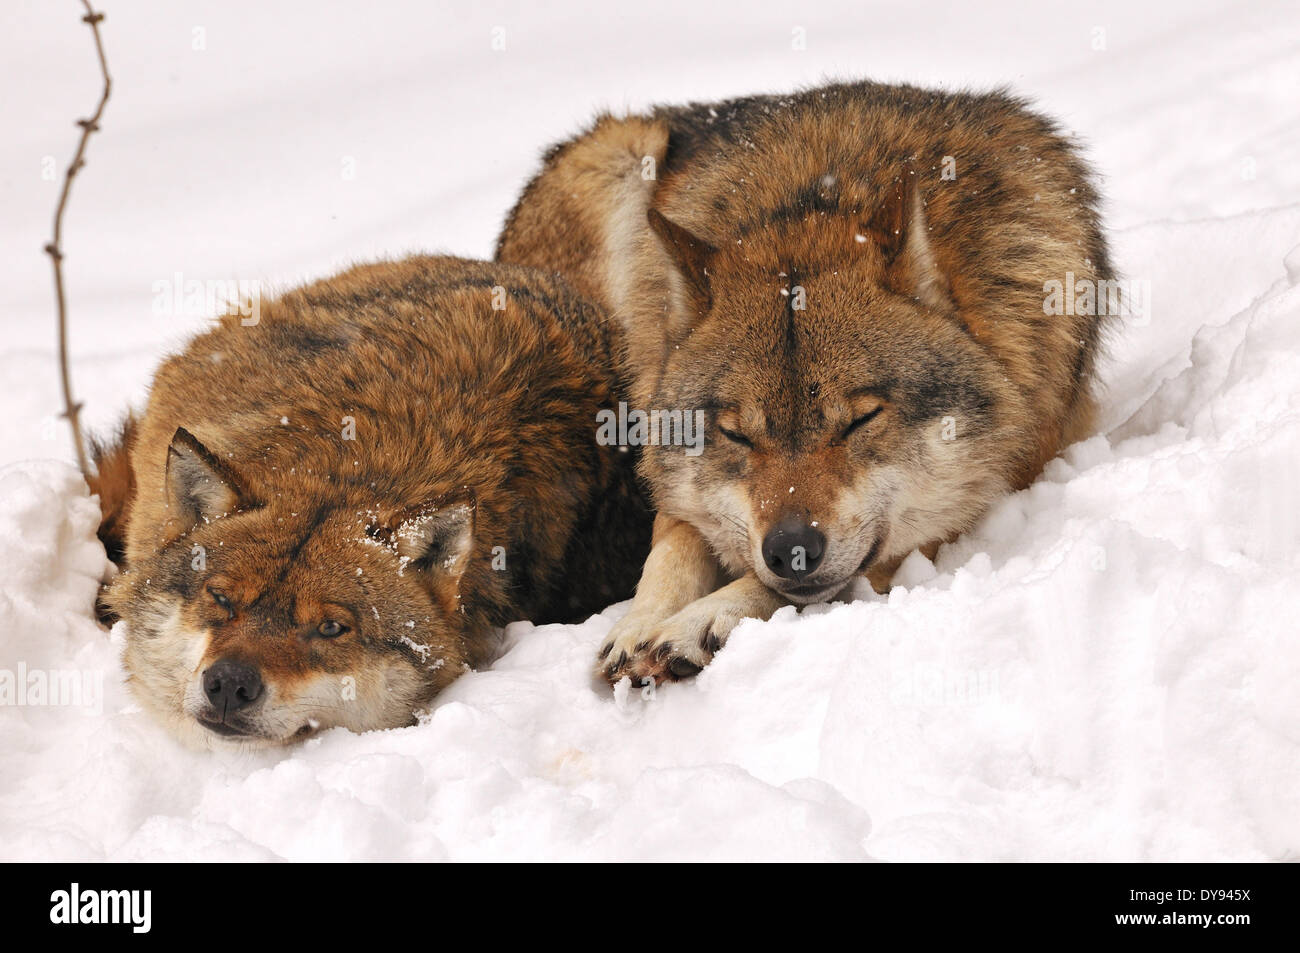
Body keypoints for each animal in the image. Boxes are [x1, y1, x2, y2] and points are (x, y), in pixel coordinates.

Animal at [496, 80, 1114, 685]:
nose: (792, 550)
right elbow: (673, 543)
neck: (822, 197)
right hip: (621, 153)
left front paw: (702, 620)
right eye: (737, 435)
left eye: (860, 420)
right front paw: (639, 624)